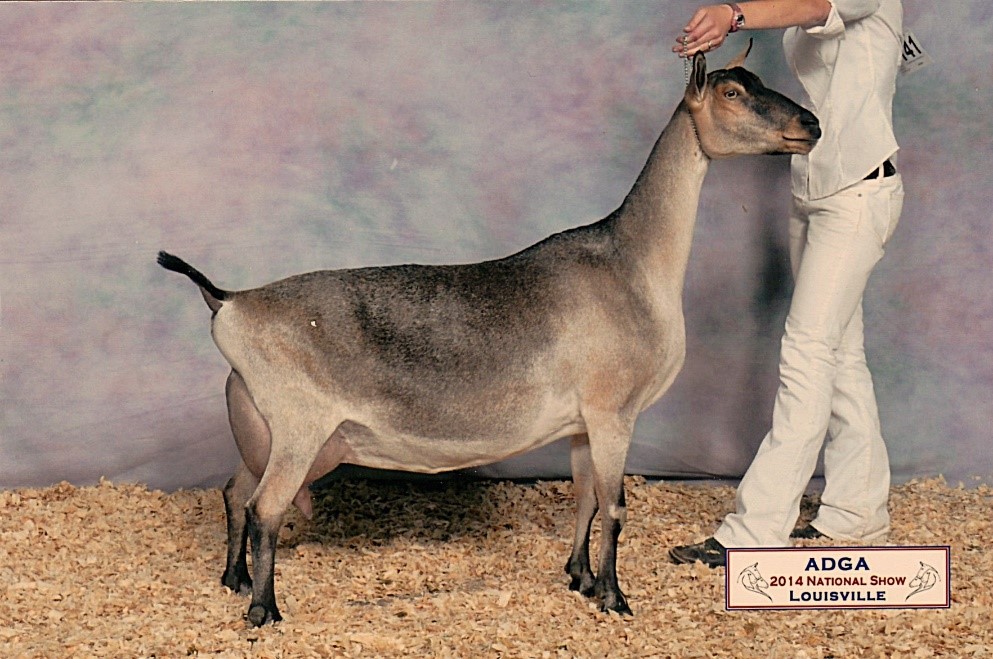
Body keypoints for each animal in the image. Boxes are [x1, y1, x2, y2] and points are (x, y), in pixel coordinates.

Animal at [158, 47, 819, 626]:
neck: (630, 262)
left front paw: (579, 578)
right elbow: (613, 505)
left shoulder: (581, 423)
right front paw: (614, 597)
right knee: (264, 507)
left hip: (262, 429)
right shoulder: (613, 412)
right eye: (732, 93)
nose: (809, 124)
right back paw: (264, 610)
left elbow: (584, 497)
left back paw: (235, 579)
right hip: (300, 427)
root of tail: (230, 300)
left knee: (234, 490)